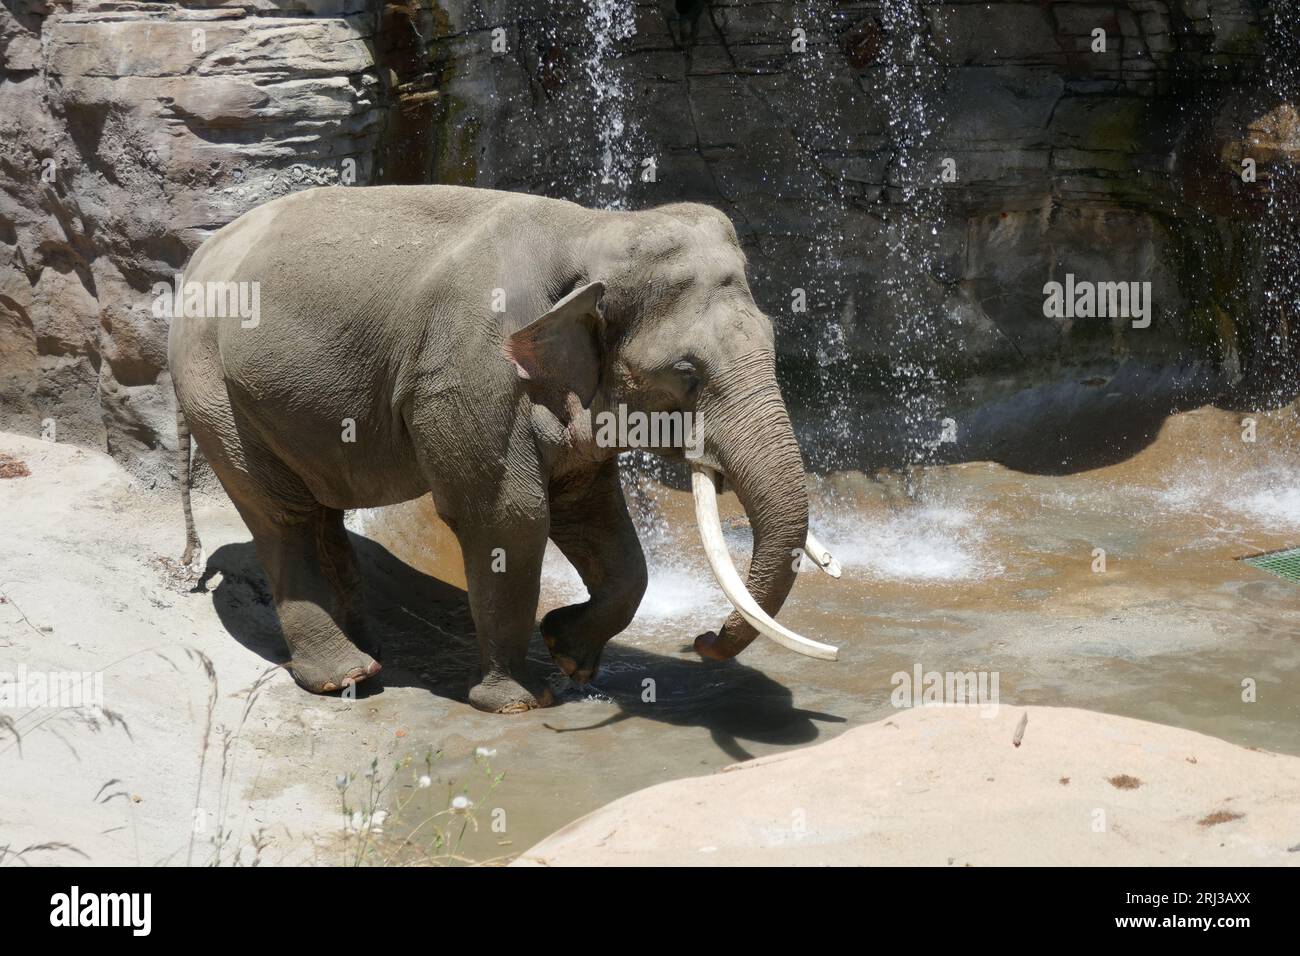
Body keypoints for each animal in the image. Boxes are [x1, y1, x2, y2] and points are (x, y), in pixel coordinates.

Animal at [168, 184, 840, 713]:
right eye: (685, 372)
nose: (701, 642)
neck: (593, 229)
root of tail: (196, 257)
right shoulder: (472, 374)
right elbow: (509, 517)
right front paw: (519, 700)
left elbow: (590, 513)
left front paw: (568, 653)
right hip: (213, 388)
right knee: (281, 516)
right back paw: (345, 678)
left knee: (320, 511)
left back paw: (371, 653)